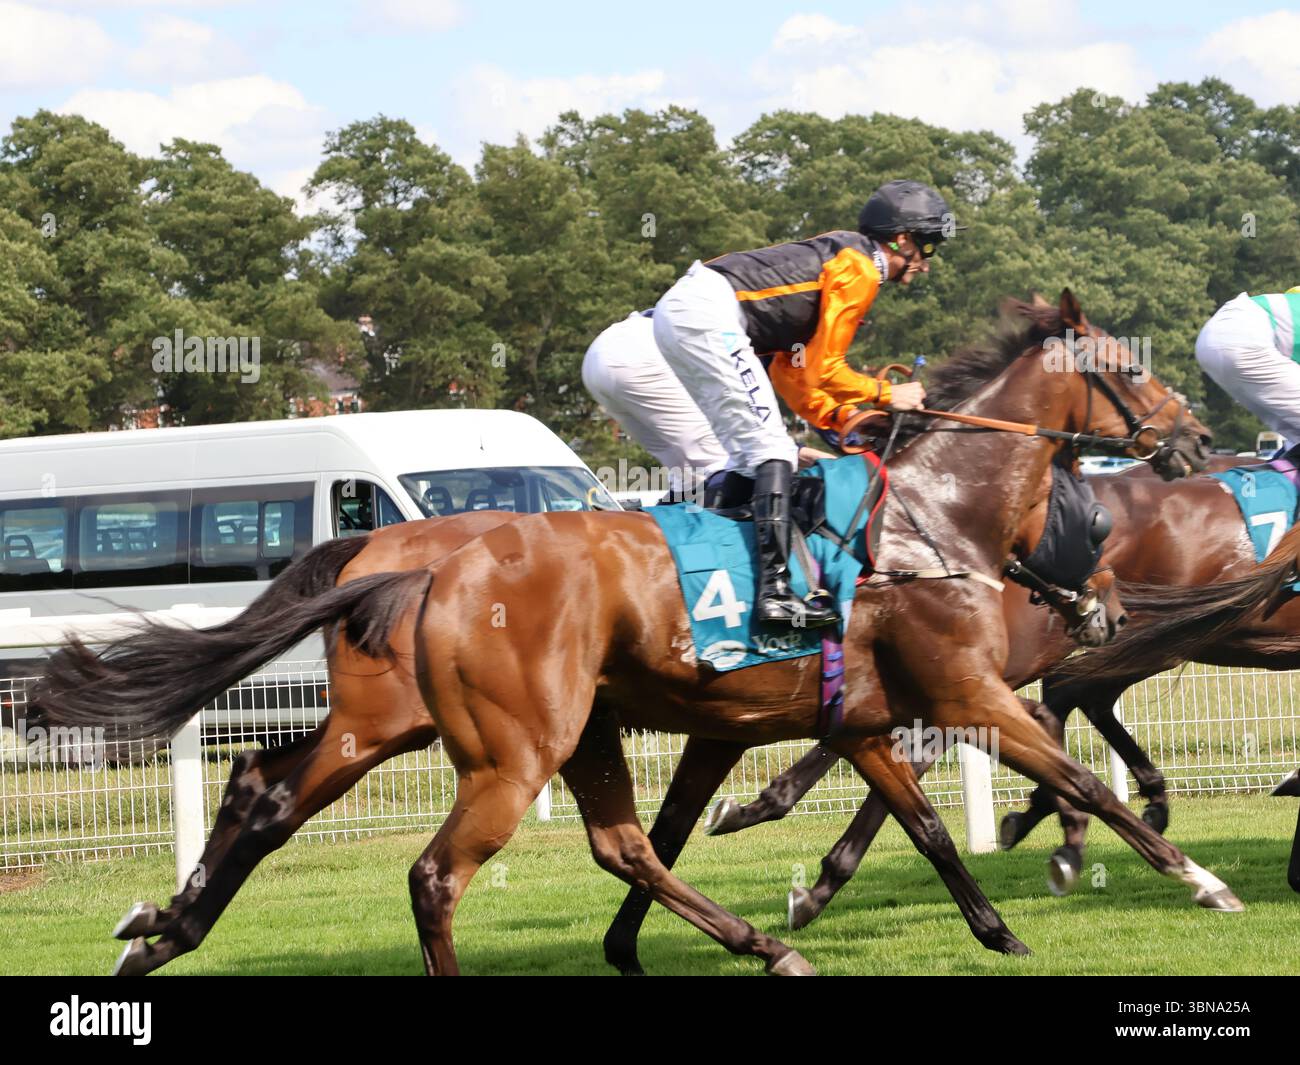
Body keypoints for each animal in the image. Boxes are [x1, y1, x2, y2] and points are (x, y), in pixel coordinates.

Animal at [31, 291, 1229, 977]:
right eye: (1128, 368)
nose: (1193, 437)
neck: (929, 524)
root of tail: (415, 560)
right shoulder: (959, 696)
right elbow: (1075, 781)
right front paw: (1193, 879)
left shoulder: (857, 717)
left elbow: (920, 826)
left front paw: (991, 926)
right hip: (507, 747)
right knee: (430, 870)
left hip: (457, 727)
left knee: (273, 788)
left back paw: (166, 930)